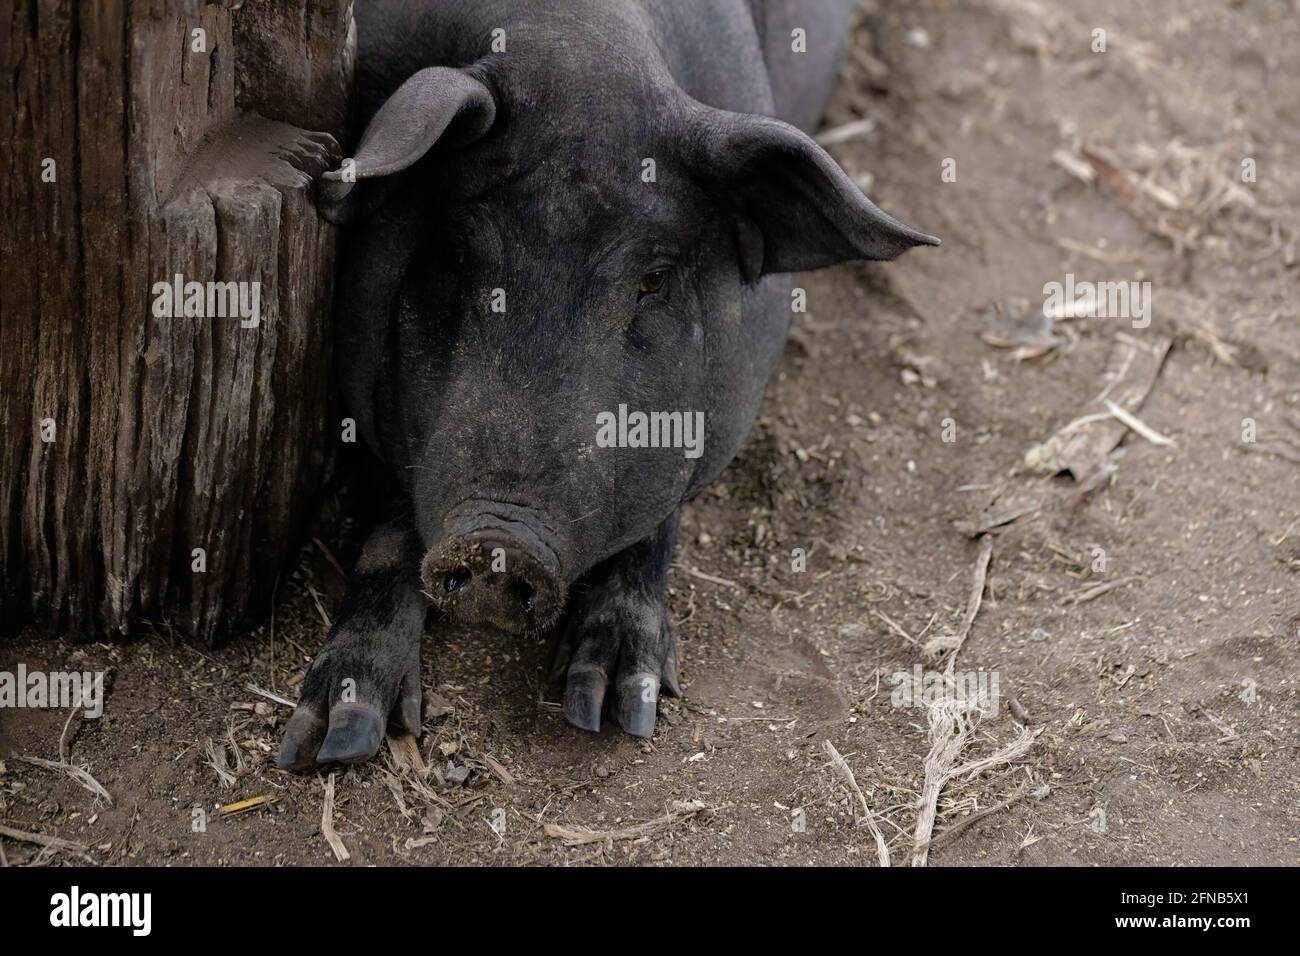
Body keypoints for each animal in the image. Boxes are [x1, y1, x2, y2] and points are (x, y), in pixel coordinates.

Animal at [278, 0, 938, 771]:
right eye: (453, 251)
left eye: (651, 280)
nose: (499, 542)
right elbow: (387, 525)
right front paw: (330, 742)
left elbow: (657, 516)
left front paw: (616, 710)